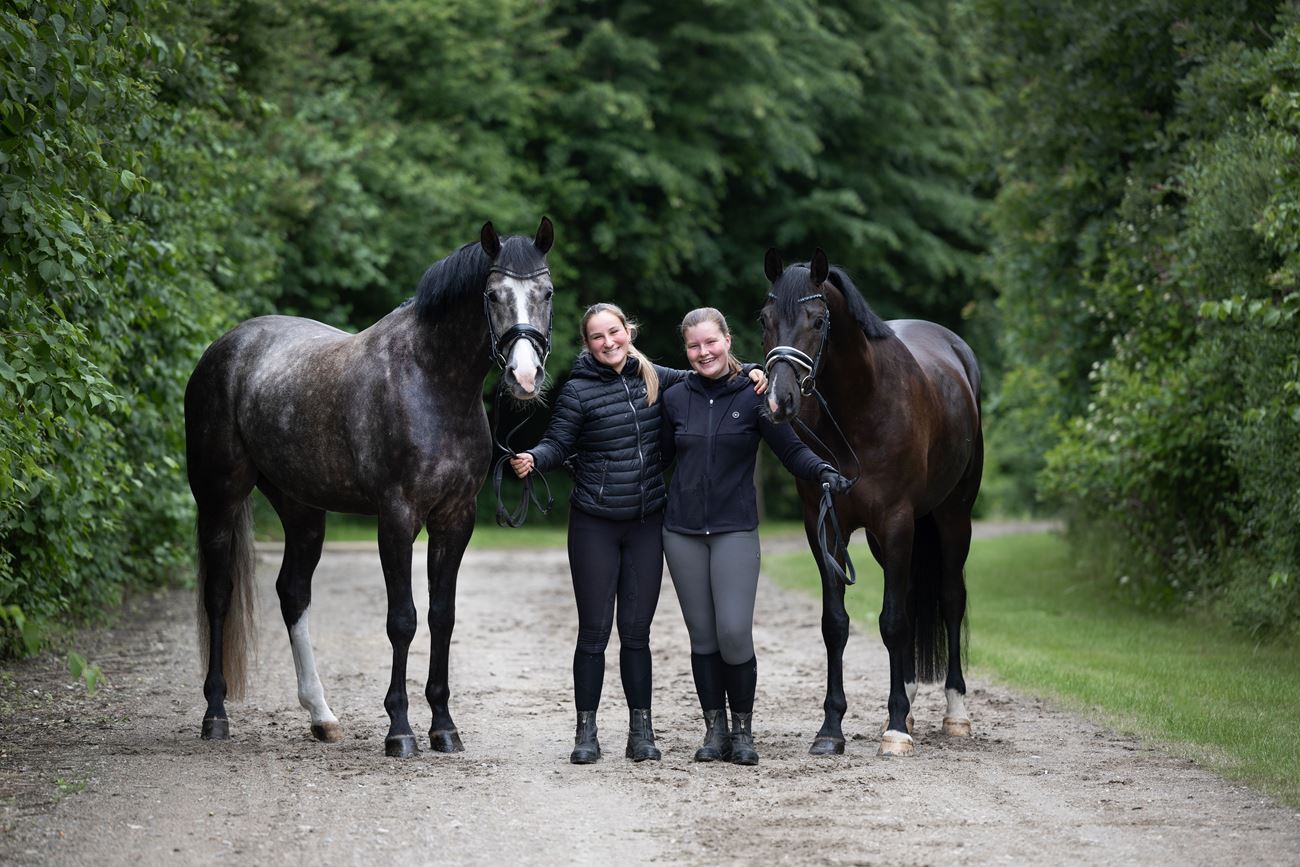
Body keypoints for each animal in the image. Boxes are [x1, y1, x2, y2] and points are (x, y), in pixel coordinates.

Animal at [184, 218, 555, 758]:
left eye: (547, 293)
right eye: (492, 294)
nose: (524, 376)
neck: (431, 382)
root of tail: (223, 349)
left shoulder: (455, 519)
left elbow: (442, 617)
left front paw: (444, 726)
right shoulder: (397, 518)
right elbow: (402, 618)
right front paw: (399, 730)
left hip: (301, 510)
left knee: (292, 593)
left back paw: (321, 716)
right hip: (219, 498)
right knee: (219, 595)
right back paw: (216, 714)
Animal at [759, 247, 983, 757]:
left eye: (819, 320)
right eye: (764, 318)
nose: (779, 401)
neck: (860, 409)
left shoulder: (897, 521)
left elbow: (893, 621)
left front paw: (895, 729)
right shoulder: (823, 524)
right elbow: (836, 624)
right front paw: (831, 729)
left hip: (952, 519)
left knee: (950, 599)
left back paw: (953, 712)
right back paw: (913, 703)